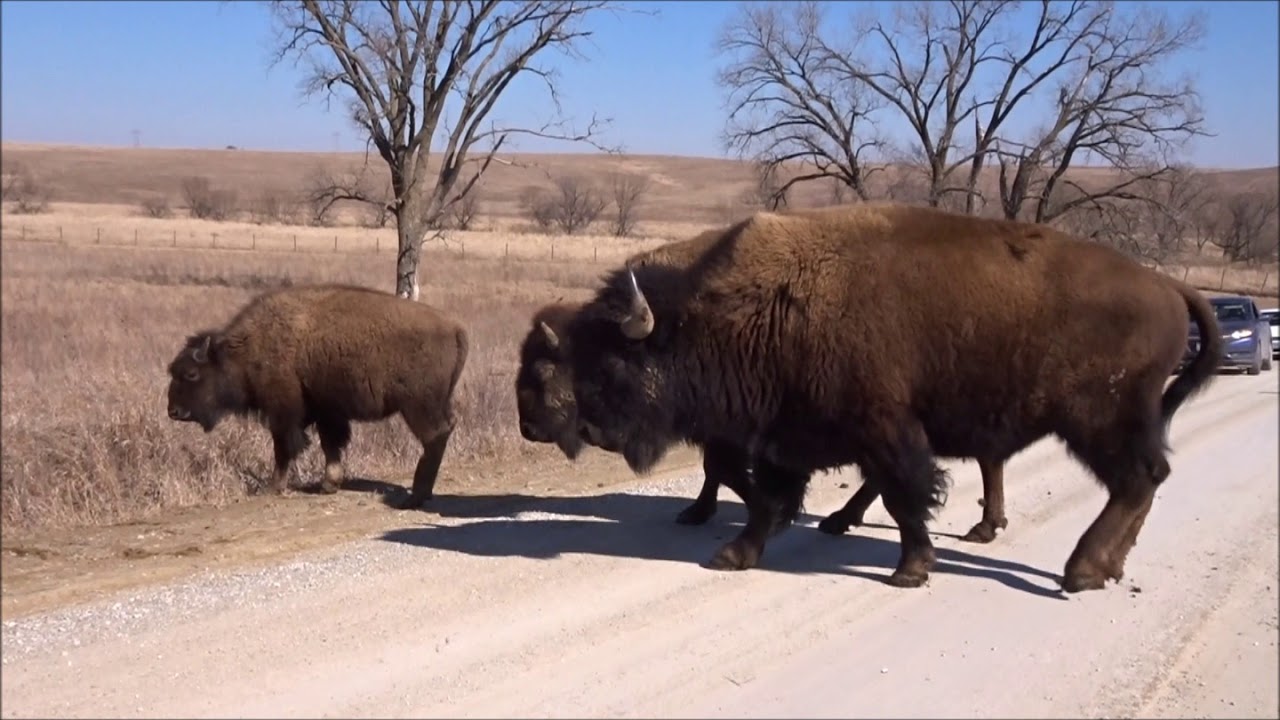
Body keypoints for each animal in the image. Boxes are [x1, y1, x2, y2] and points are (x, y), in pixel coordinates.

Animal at [166, 283, 469, 509]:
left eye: (191, 374)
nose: (174, 411)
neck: (246, 350)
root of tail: (455, 328)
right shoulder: (327, 411)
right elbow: (330, 444)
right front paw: (329, 484)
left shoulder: (283, 412)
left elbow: (284, 448)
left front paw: (273, 487)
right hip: (436, 403)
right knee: (444, 430)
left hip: (418, 406)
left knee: (434, 436)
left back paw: (416, 497)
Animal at [556, 202, 1221, 592]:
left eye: (614, 360)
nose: (591, 432)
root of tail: (1166, 285)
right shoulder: (785, 438)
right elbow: (770, 503)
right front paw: (734, 554)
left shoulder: (886, 431)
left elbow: (905, 497)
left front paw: (911, 570)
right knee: (1146, 480)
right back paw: (1105, 567)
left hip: (1099, 418)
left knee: (1136, 479)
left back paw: (1081, 570)